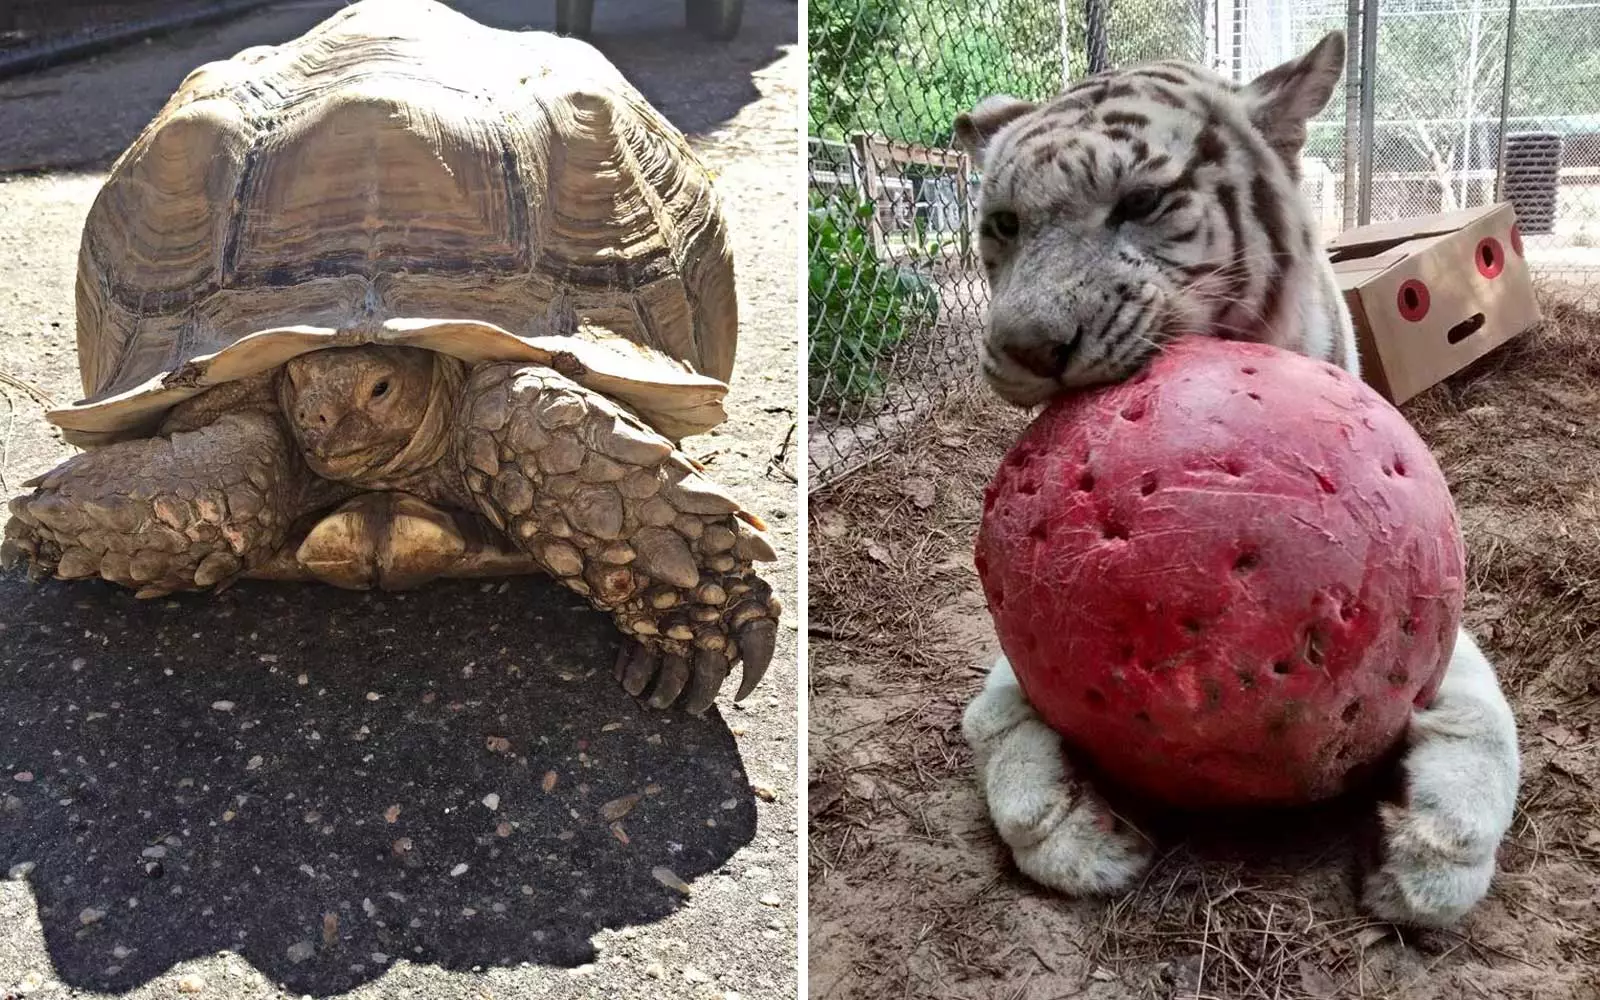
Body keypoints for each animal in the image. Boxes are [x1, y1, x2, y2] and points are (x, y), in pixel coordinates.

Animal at [953, 31, 1516, 921]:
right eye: (1004, 224)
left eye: (1142, 202)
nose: (1027, 349)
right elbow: (998, 712)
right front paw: (1066, 828)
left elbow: (1484, 708)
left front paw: (1436, 852)